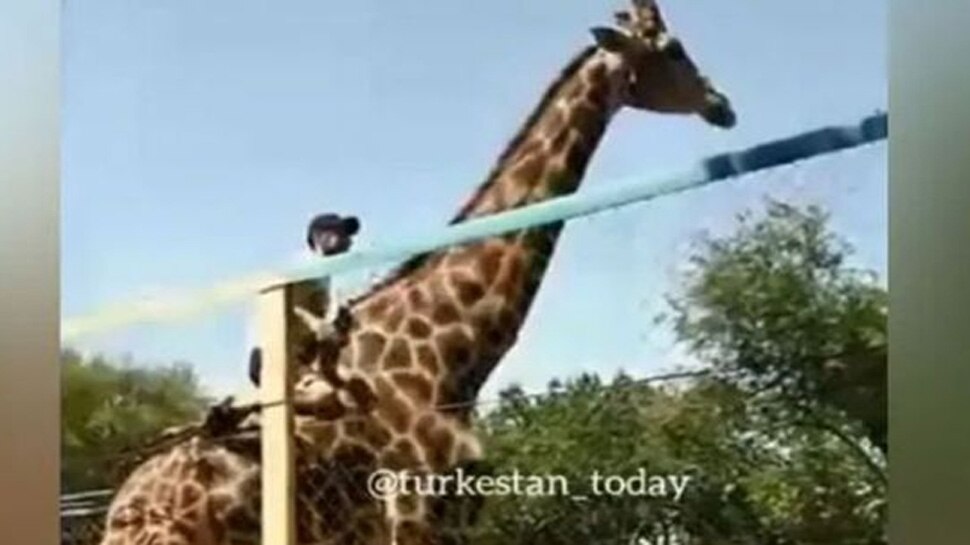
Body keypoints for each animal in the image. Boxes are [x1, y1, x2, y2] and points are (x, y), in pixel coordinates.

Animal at [95, 2, 736, 544]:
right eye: (673, 50)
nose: (722, 105)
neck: (458, 360)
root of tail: (118, 503)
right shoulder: (412, 506)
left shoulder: (456, 513)